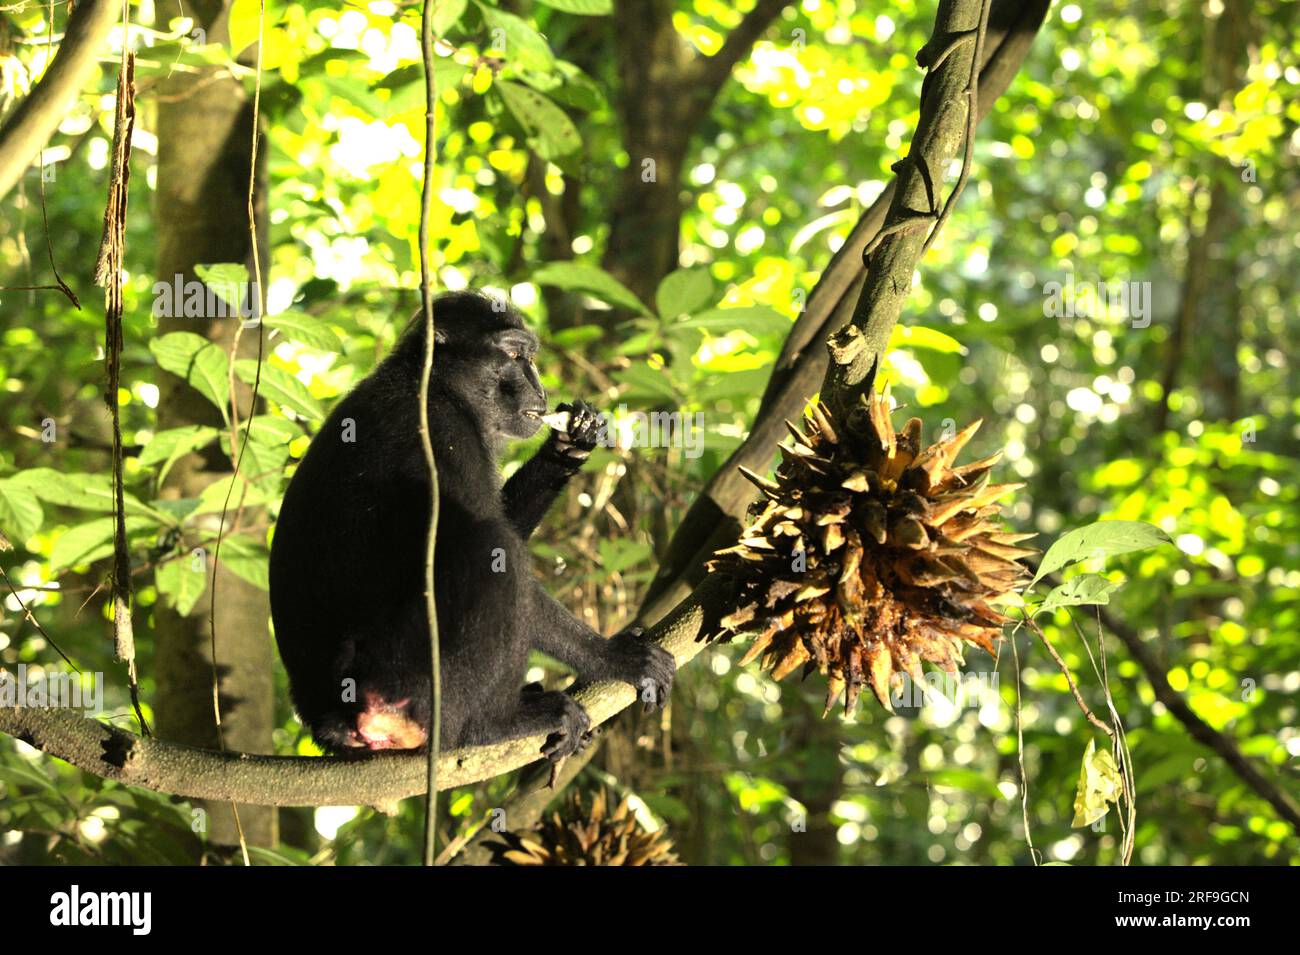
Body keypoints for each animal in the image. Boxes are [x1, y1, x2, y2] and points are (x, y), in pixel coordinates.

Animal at [268, 290, 674, 761]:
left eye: (530, 358)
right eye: (515, 355)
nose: (541, 388)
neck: (434, 385)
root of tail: (325, 717)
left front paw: (567, 446)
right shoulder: (444, 433)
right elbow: (500, 550)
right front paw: (618, 658)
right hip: (401, 678)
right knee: (493, 549)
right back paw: (490, 726)